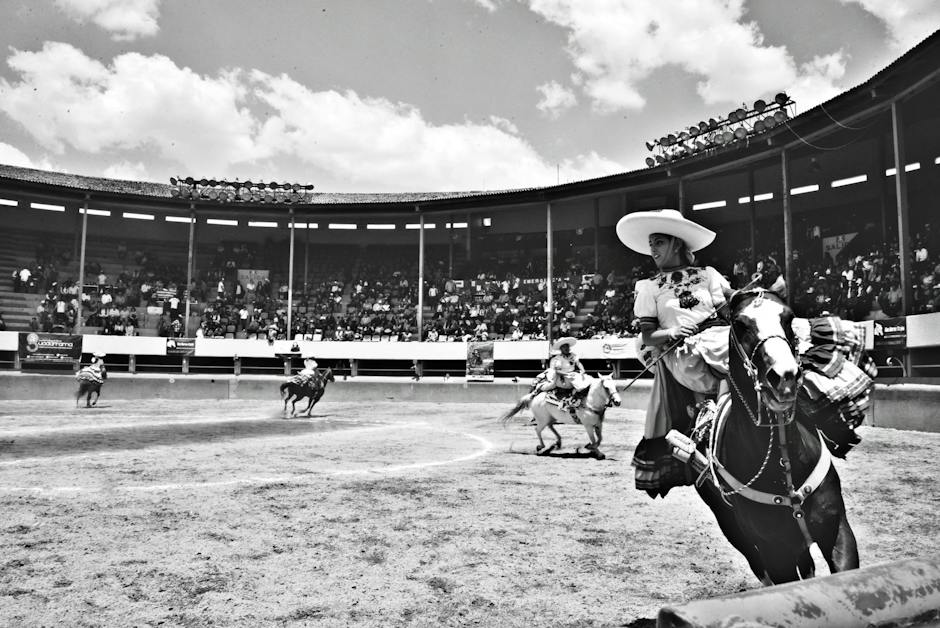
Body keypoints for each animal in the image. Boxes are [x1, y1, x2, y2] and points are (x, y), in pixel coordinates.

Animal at [688, 292, 856, 588]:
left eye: (788, 318)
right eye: (740, 324)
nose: (785, 376)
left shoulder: (837, 530)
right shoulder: (775, 550)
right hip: (734, 529)